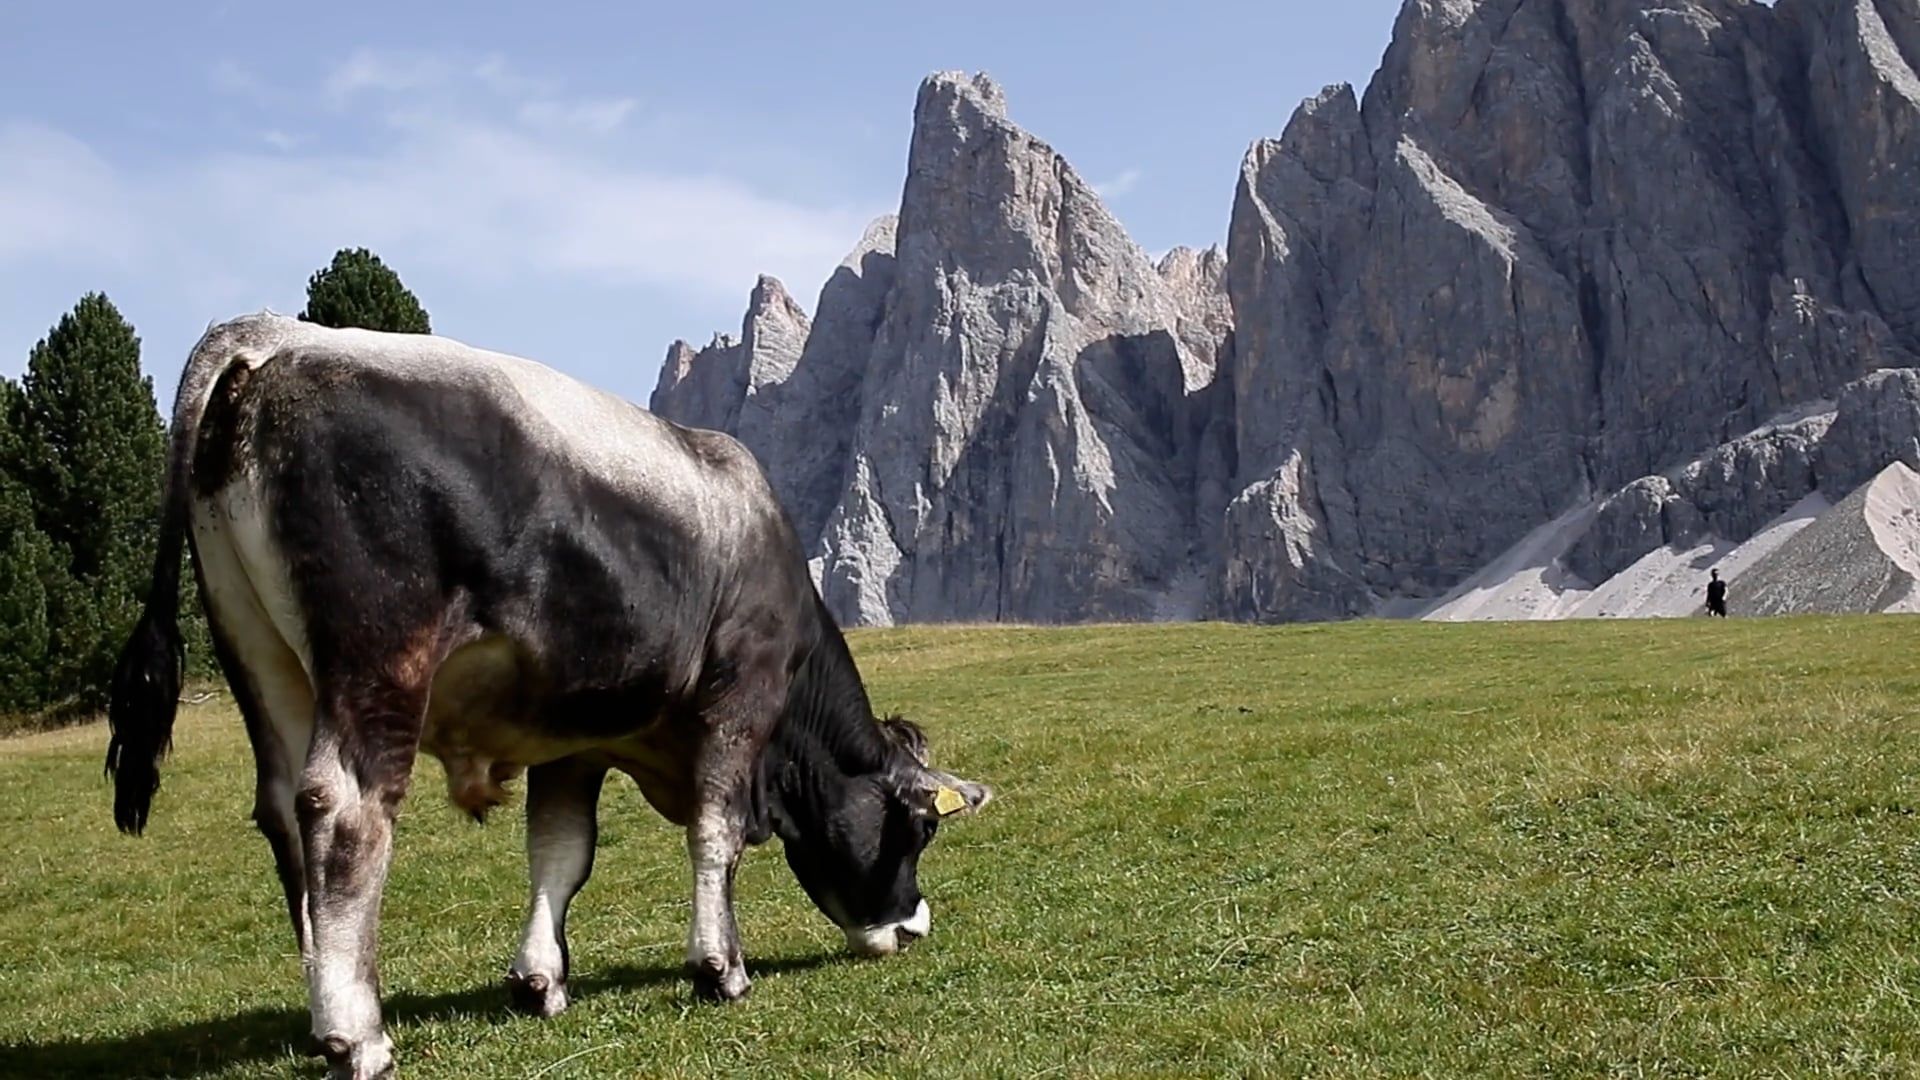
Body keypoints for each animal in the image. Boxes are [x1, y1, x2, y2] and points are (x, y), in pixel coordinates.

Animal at [104, 313, 992, 1080]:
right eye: (918, 827)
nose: (913, 925)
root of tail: (275, 336)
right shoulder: (742, 695)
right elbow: (717, 833)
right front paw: (720, 968)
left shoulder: (574, 738)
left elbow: (561, 854)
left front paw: (540, 981)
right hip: (379, 662)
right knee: (345, 811)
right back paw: (359, 1034)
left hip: (264, 663)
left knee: (285, 813)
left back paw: (321, 1005)